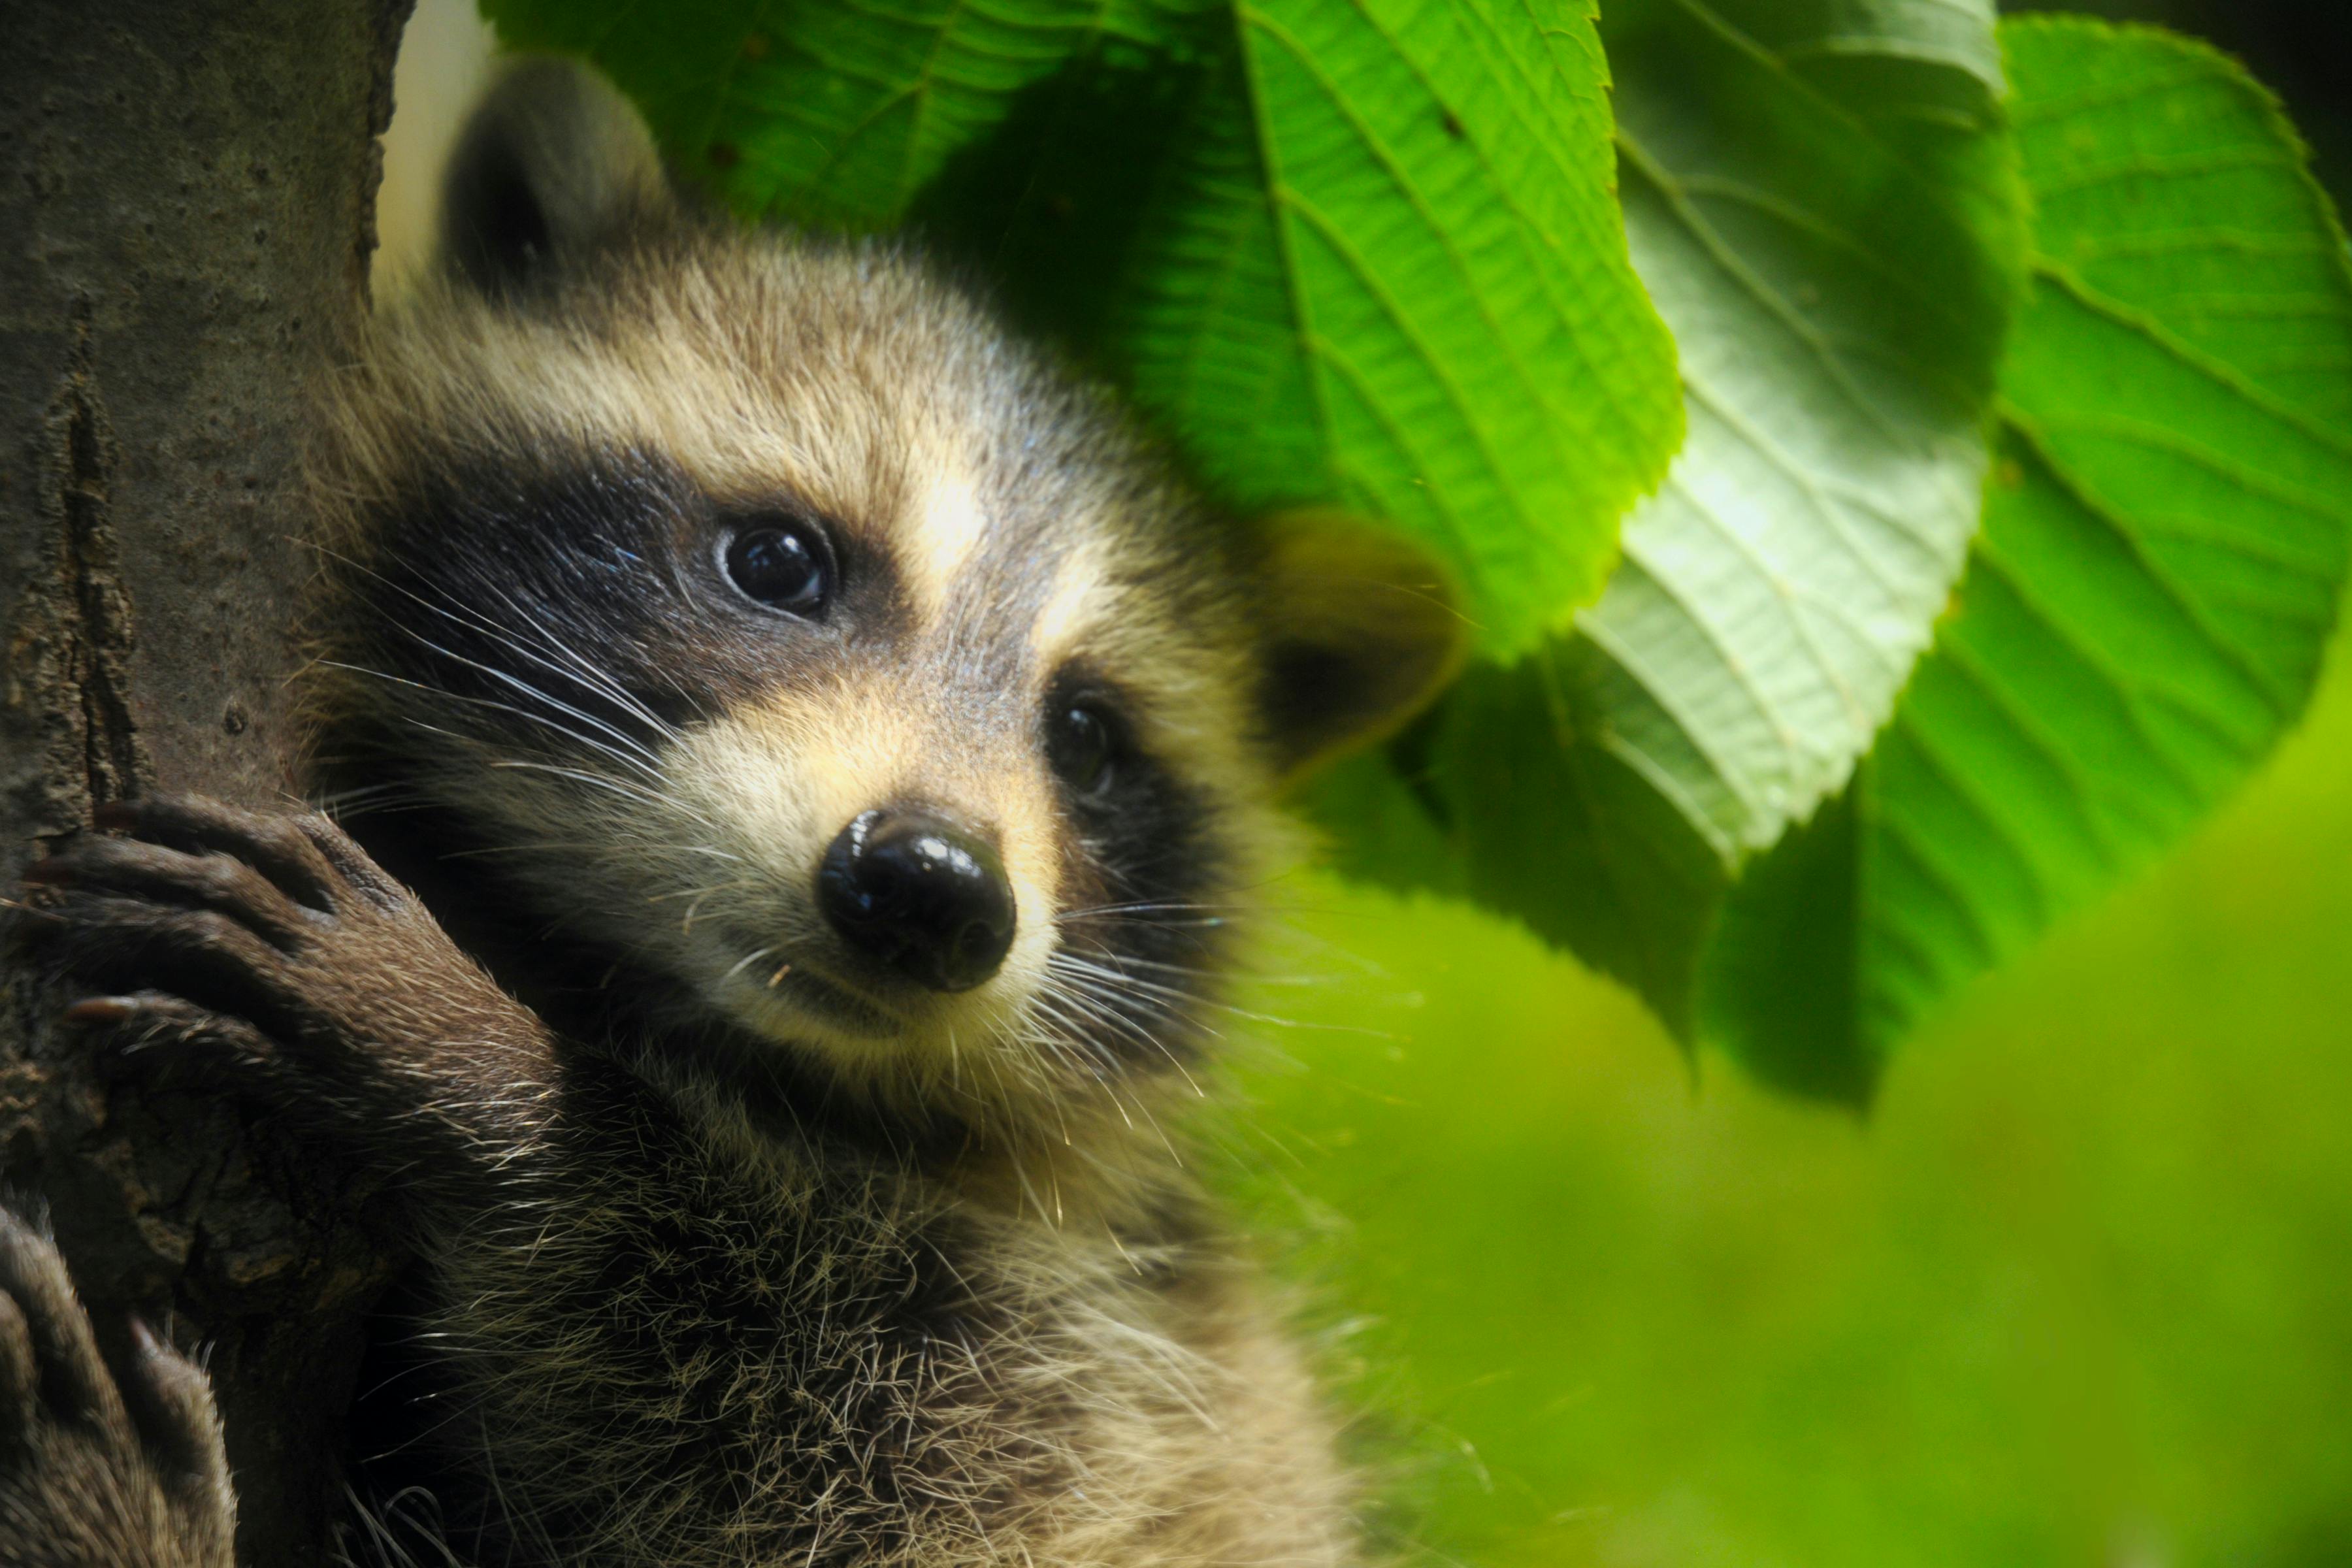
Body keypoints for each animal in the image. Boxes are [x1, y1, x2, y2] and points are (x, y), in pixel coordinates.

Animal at [5, 58, 1459, 1568]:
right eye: (778, 561)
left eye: (1086, 739)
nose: (932, 884)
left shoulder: (1132, 1361)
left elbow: (863, 1419)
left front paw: (496, 1079)